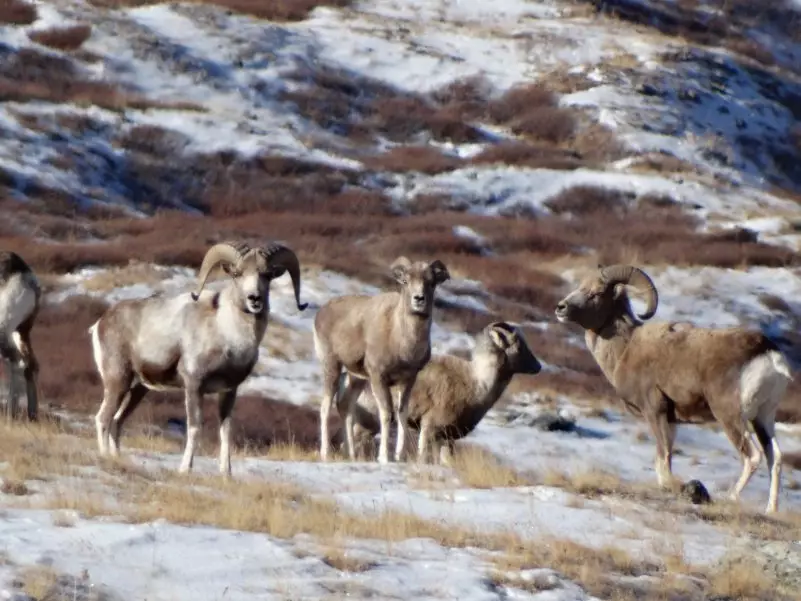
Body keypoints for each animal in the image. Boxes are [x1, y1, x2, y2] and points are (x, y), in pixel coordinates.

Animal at [91, 241, 306, 476]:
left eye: (266, 275)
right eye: (237, 274)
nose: (254, 298)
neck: (228, 333)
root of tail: (100, 323)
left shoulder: (228, 392)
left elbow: (225, 431)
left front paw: (226, 473)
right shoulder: (194, 386)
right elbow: (194, 428)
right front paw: (185, 469)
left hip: (138, 389)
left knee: (117, 421)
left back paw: (117, 458)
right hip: (118, 382)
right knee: (103, 418)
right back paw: (105, 457)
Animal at [314, 255, 450, 462]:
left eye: (431, 282)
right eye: (405, 281)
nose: (419, 299)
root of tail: (321, 312)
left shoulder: (407, 381)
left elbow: (401, 414)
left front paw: (399, 456)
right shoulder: (379, 378)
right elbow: (386, 414)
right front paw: (385, 457)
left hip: (357, 378)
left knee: (346, 409)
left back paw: (351, 455)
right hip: (332, 367)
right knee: (325, 407)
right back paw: (326, 453)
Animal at [328, 318, 540, 464]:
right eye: (518, 347)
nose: (538, 367)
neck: (476, 384)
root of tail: (345, 380)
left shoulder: (446, 439)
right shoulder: (429, 428)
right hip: (365, 426)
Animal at [552, 262, 792, 510]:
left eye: (597, 293)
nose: (561, 308)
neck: (625, 348)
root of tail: (770, 356)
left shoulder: (655, 412)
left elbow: (663, 458)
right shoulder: (671, 420)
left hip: (730, 417)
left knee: (752, 456)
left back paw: (731, 498)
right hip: (762, 418)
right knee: (775, 458)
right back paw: (771, 510)